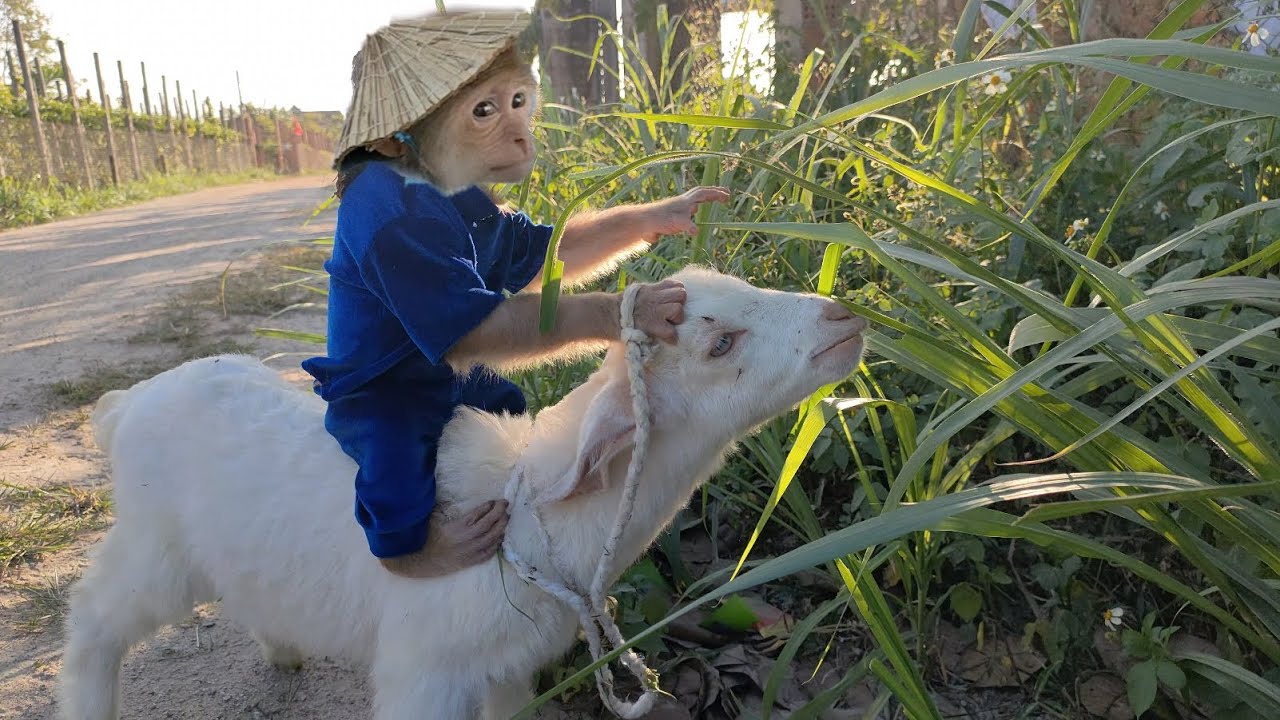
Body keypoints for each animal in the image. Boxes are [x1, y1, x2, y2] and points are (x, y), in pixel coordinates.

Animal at [57, 266, 868, 720]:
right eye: (720, 343)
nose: (844, 316)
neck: (534, 517)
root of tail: (125, 405)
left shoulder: (510, 669)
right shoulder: (424, 673)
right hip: (154, 548)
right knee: (94, 617)